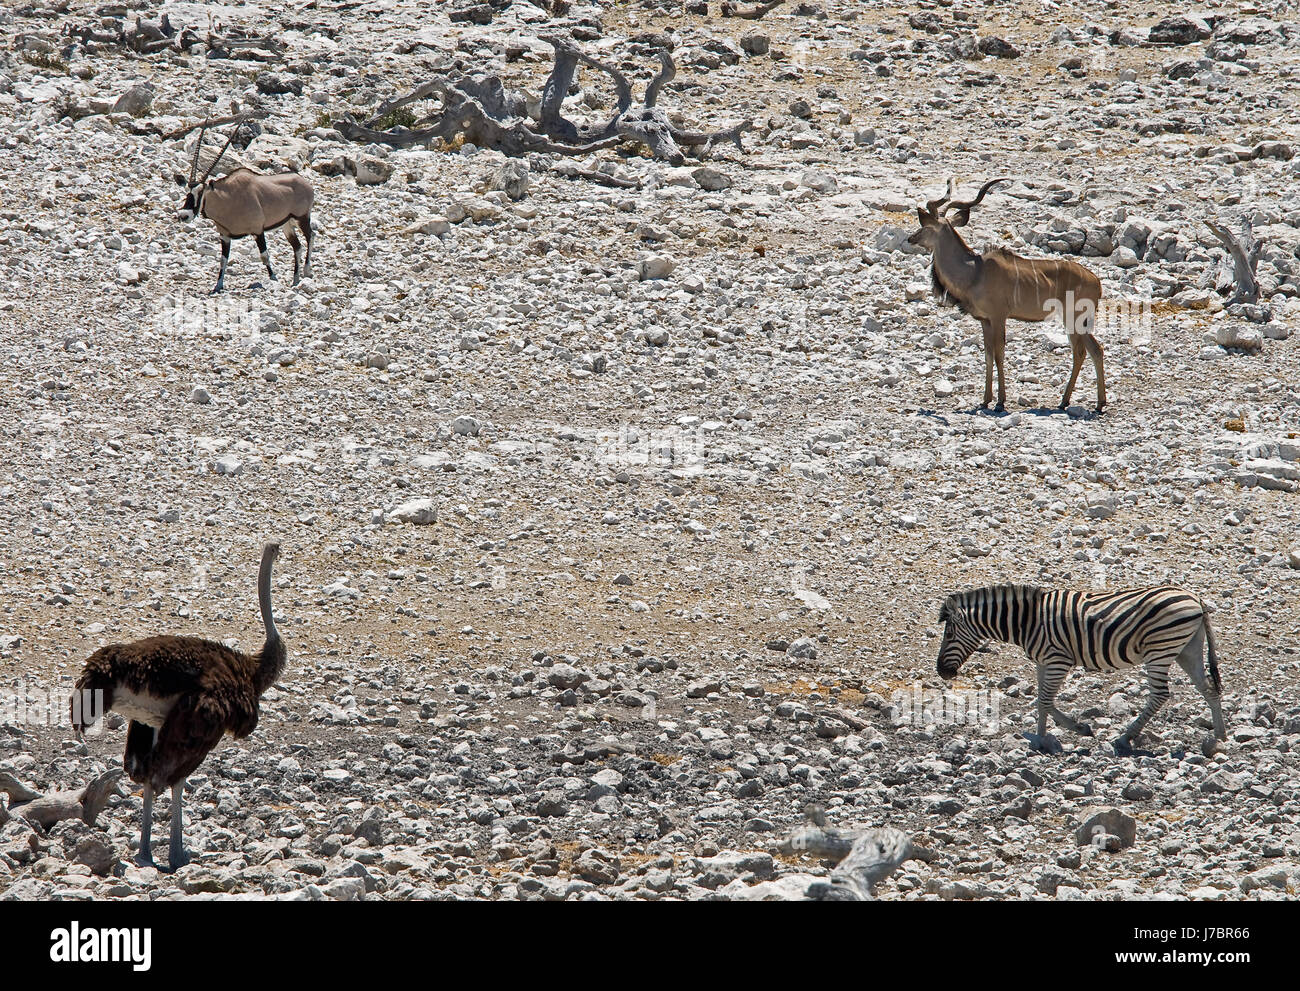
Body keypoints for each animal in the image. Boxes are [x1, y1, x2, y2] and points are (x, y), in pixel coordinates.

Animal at [936, 584, 1227, 756]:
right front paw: (1045, 738)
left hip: (1160, 649)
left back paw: (1125, 739)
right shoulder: (1043, 661)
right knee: (1209, 688)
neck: (1027, 622)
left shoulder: (1057, 660)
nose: (941, 672)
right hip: (1187, 649)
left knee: (1160, 695)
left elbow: (1045, 700)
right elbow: (1041, 702)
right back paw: (1219, 737)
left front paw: (1068, 731)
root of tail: (1196, 599)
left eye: (949, 635)